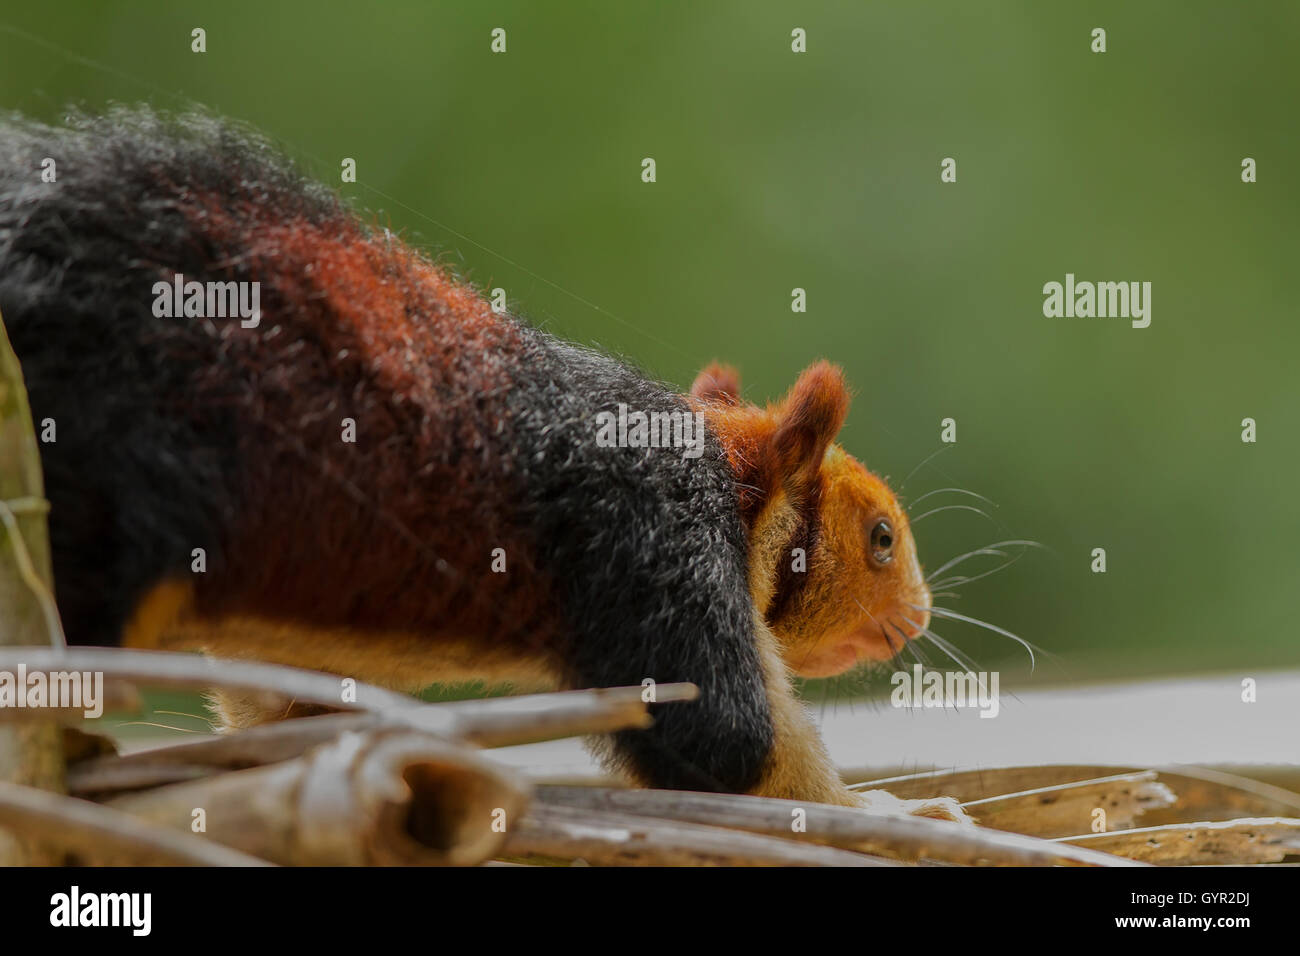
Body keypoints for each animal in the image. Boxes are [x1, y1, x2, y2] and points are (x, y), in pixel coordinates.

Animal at [0, 107, 962, 821]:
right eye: (881, 538)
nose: (918, 614)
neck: (728, 479)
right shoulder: (657, 539)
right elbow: (727, 741)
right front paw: (898, 814)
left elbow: (285, 723)